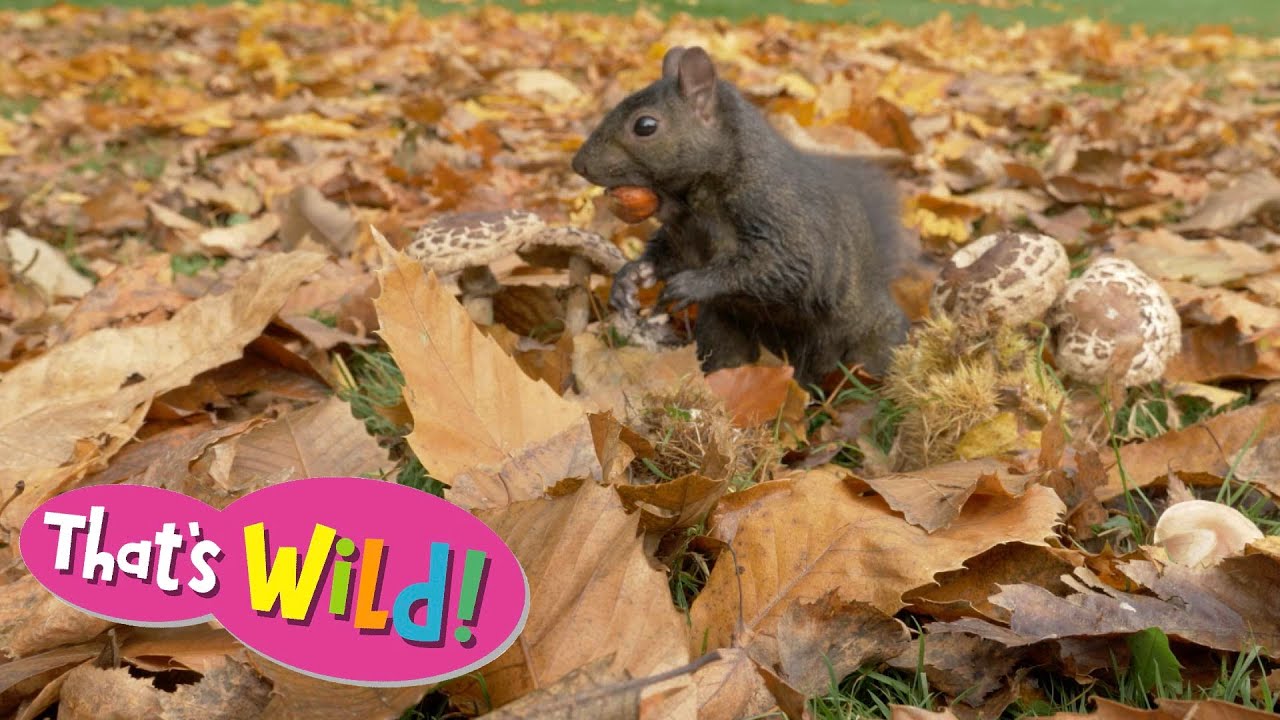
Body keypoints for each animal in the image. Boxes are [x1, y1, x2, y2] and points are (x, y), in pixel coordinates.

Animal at [571, 46, 909, 388]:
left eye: (645, 126)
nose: (578, 164)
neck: (695, 203)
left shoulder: (784, 213)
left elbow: (785, 265)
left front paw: (691, 285)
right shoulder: (684, 237)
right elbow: (667, 256)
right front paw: (632, 276)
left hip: (868, 342)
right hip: (722, 329)